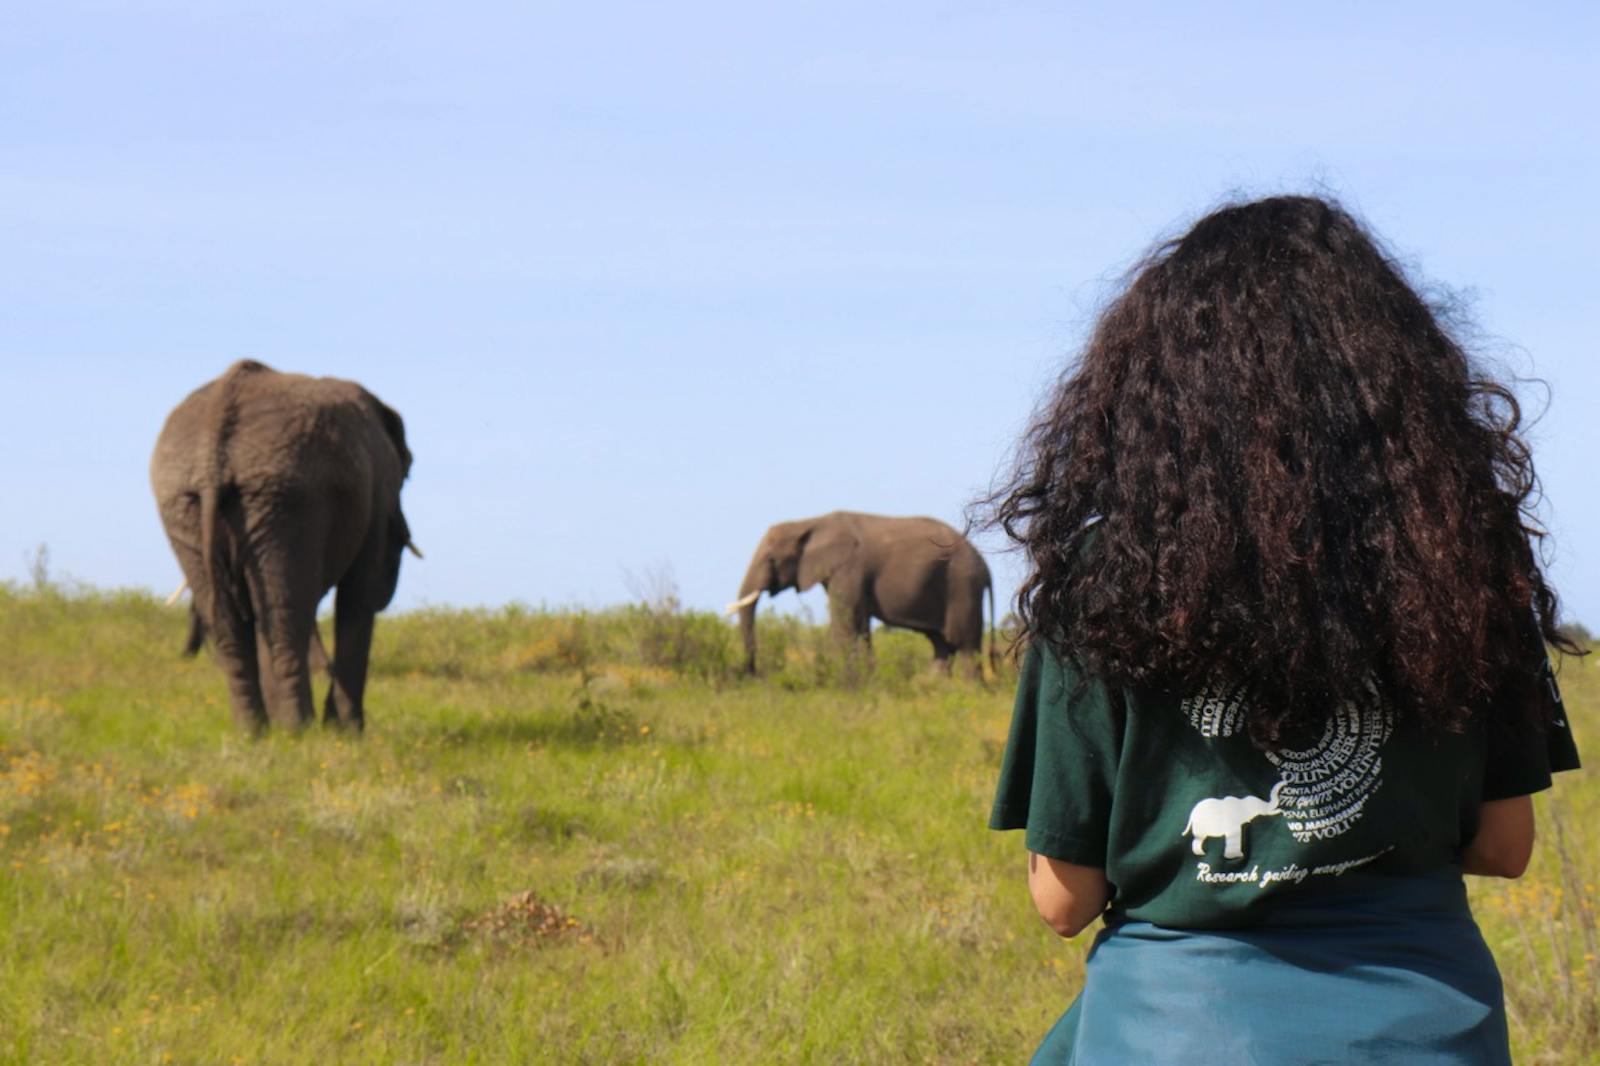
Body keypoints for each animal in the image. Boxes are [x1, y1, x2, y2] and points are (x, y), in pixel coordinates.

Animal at [150, 360, 417, 732]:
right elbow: (359, 595)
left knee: (245, 618)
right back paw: (296, 730)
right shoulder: (376, 490)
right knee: (282, 614)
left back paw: (256, 732)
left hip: (191, 503)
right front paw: (348, 732)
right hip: (285, 500)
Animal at [726, 511, 994, 677]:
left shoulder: (849, 569)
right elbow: (859, 625)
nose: (752, 673)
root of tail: (985, 566)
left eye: (771, 560)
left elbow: (845, 624)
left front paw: (850, 684)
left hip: (963, 587)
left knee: (966, 646)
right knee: (942, 646)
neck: (809, 523)